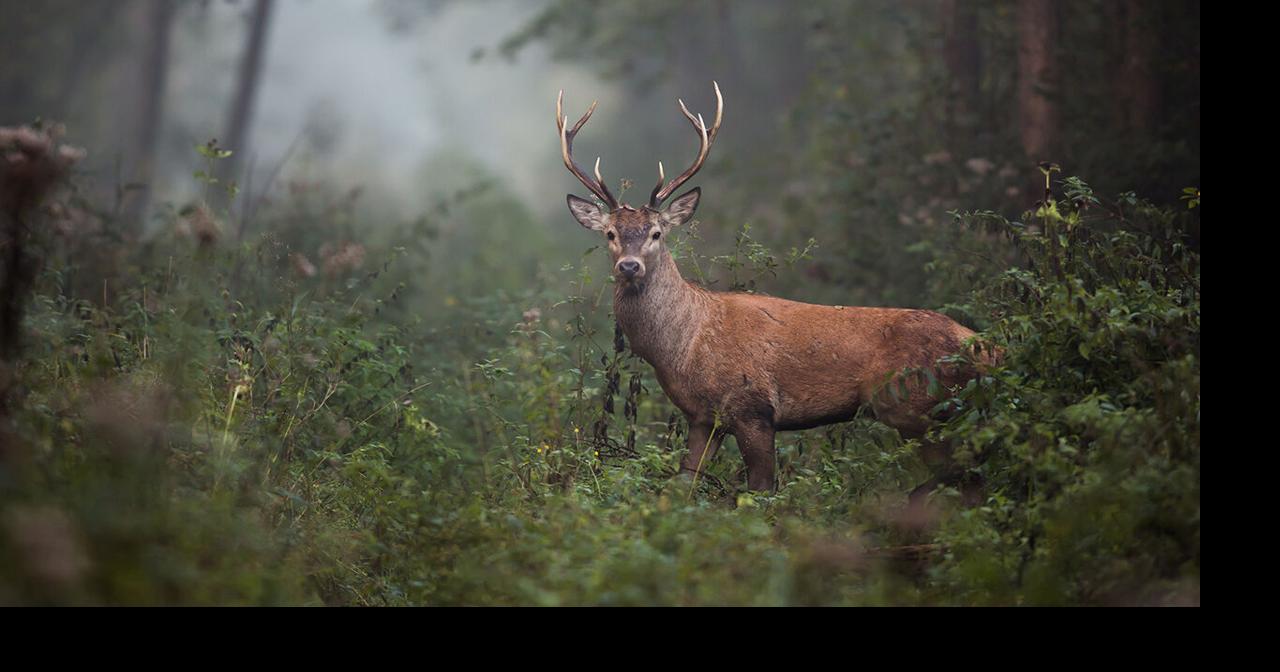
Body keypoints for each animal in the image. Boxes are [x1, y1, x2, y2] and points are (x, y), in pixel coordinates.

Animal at [557, 82, 990, 498]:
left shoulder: (754, 408)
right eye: (610, 233)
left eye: (656, 233)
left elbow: (761, 493)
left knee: (963, 473)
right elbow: (682, 486)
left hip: (917, 406)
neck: (684, 347)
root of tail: (983, 346)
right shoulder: (703, 417)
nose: (629, 266)